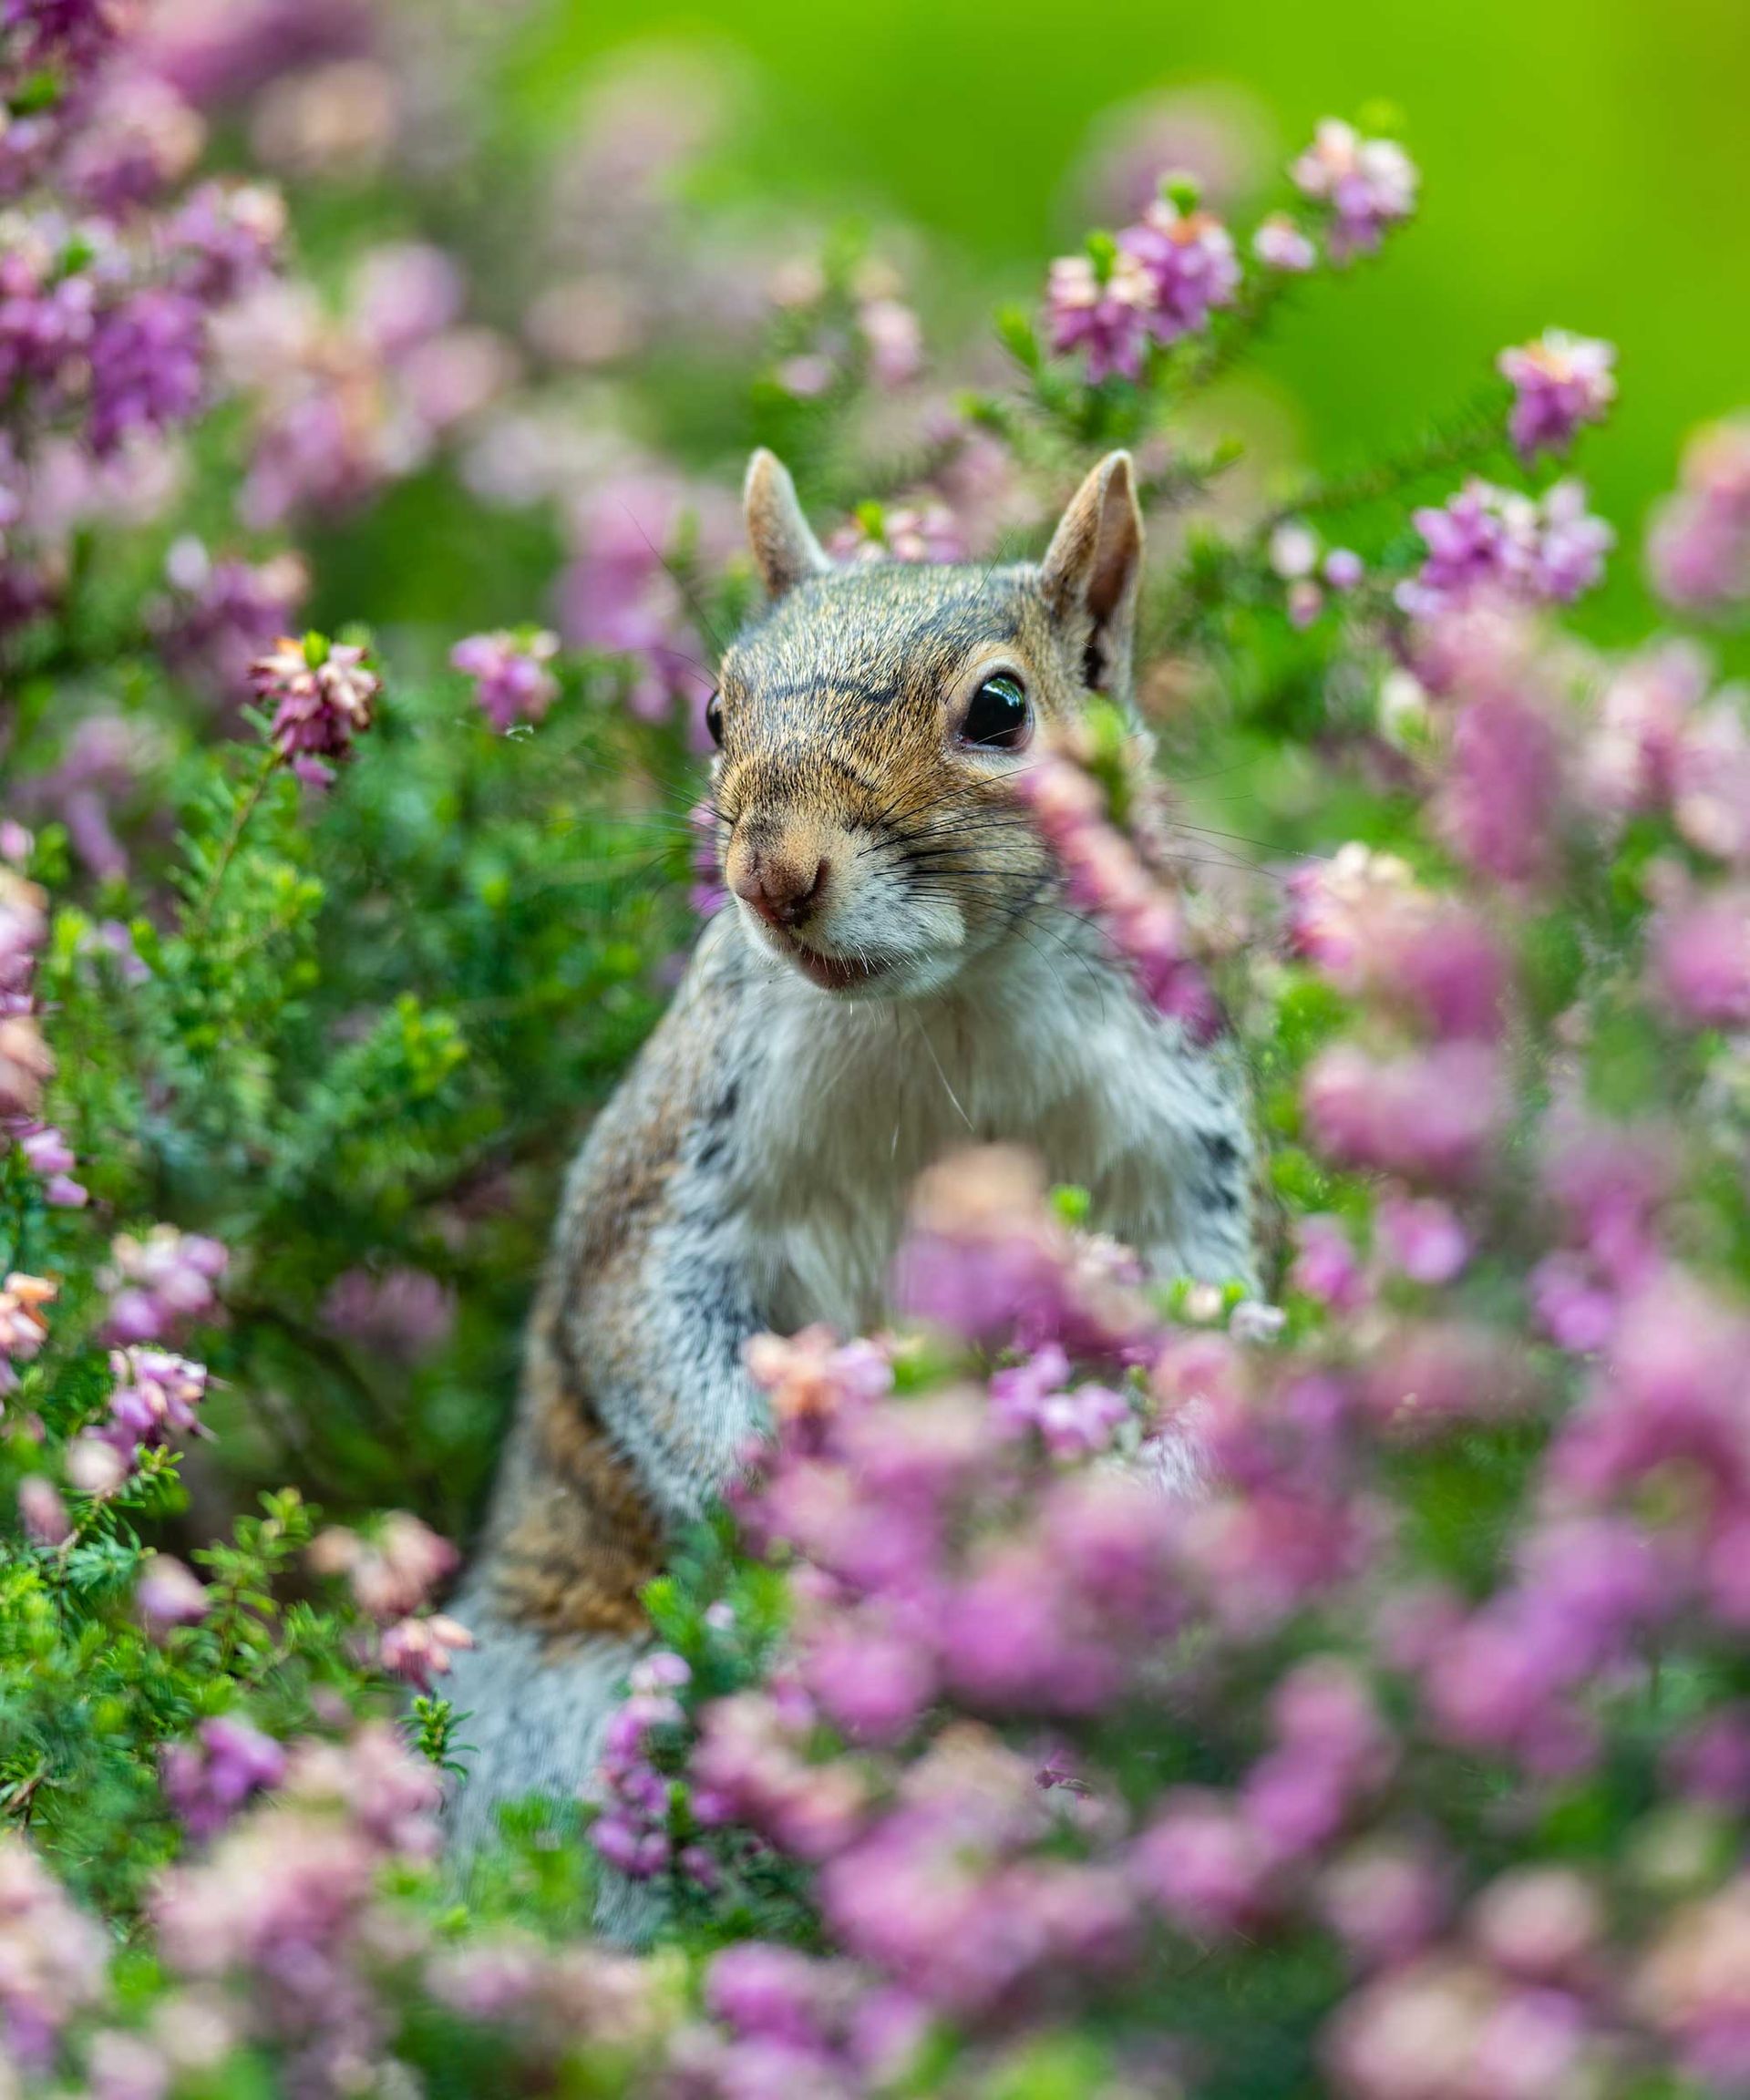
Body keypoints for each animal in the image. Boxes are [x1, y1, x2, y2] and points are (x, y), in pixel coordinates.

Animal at [443, 447, 1257, 1887]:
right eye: (715, 710)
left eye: (1002, 707)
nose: (775, 870)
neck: (952, 1009)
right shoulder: (682, 1149)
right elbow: (639, 1317)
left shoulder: (1181, 1162)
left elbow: (1211, 1341)